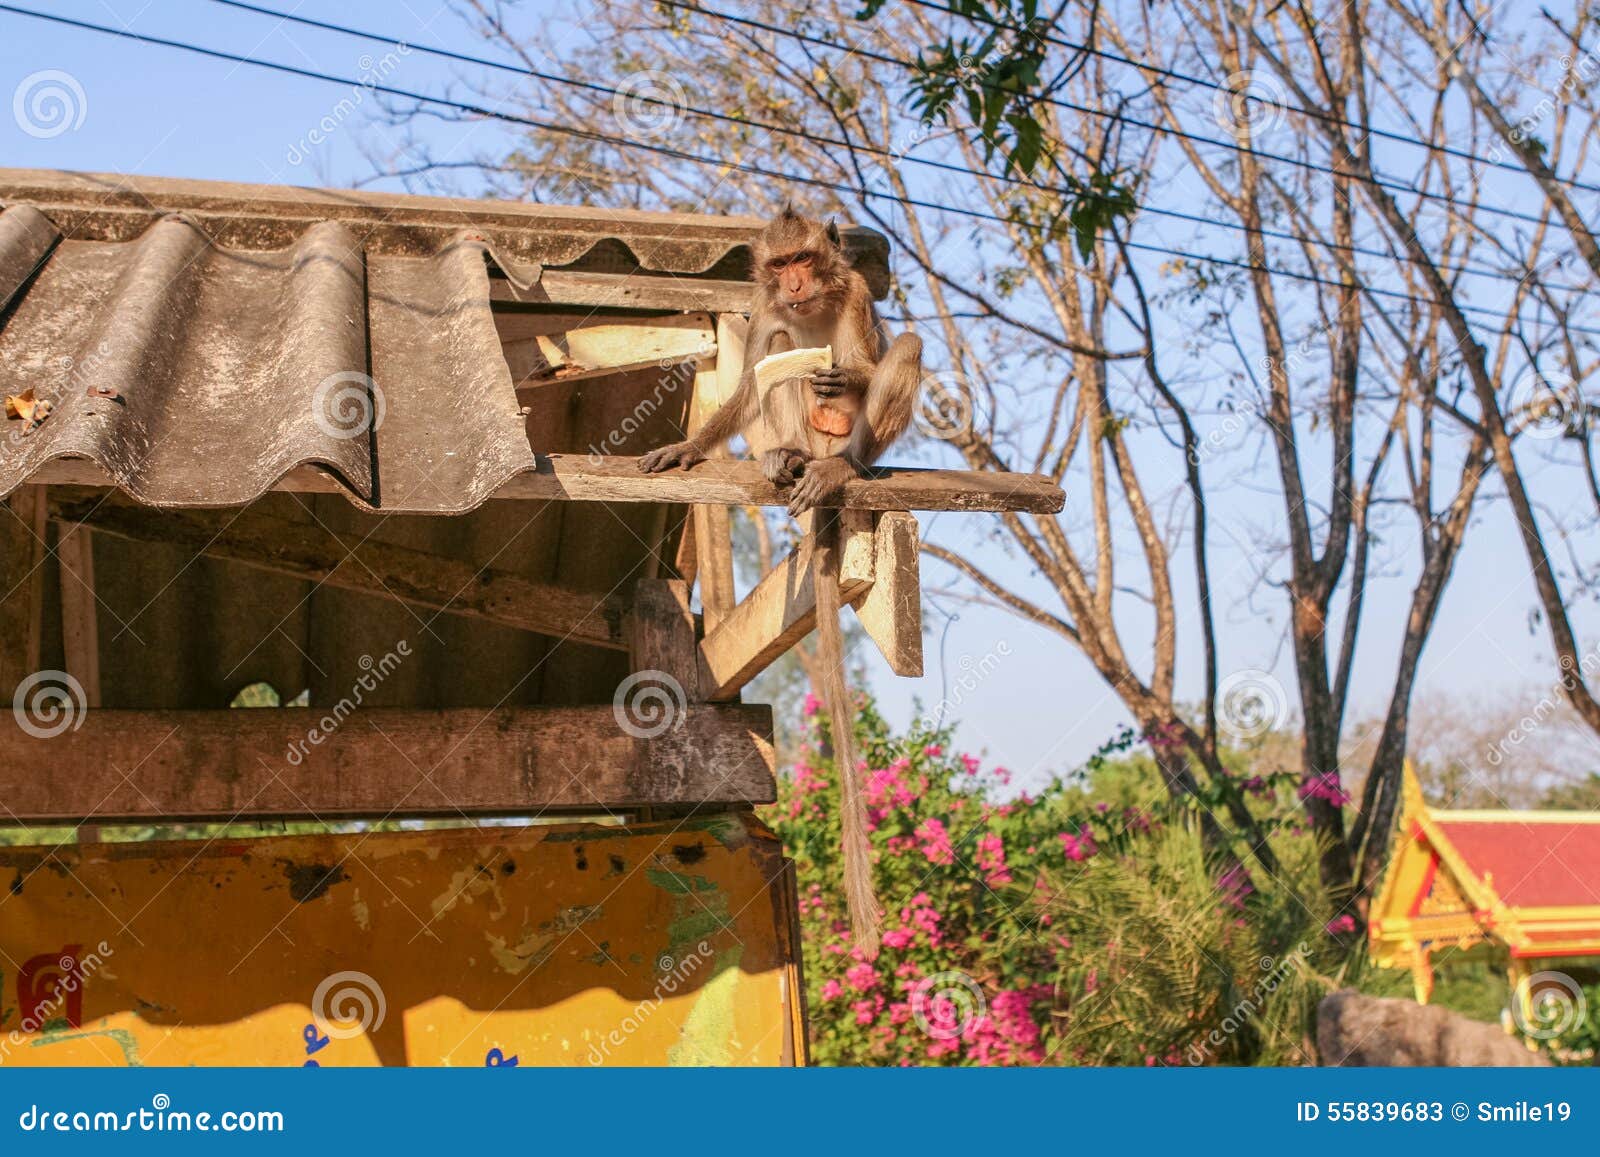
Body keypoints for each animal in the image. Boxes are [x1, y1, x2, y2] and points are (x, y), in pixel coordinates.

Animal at [638, 207, 923, 956]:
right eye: (780, 265)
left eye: (805, 260)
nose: (793, 283)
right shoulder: (762, 305)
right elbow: (753, 370)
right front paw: (691, 446)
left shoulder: (857, 292)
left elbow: (867, 358)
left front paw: (842, 376)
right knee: (772, 353)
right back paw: (785, 457)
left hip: (854, 437)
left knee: (901, 351)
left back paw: (842, 467)